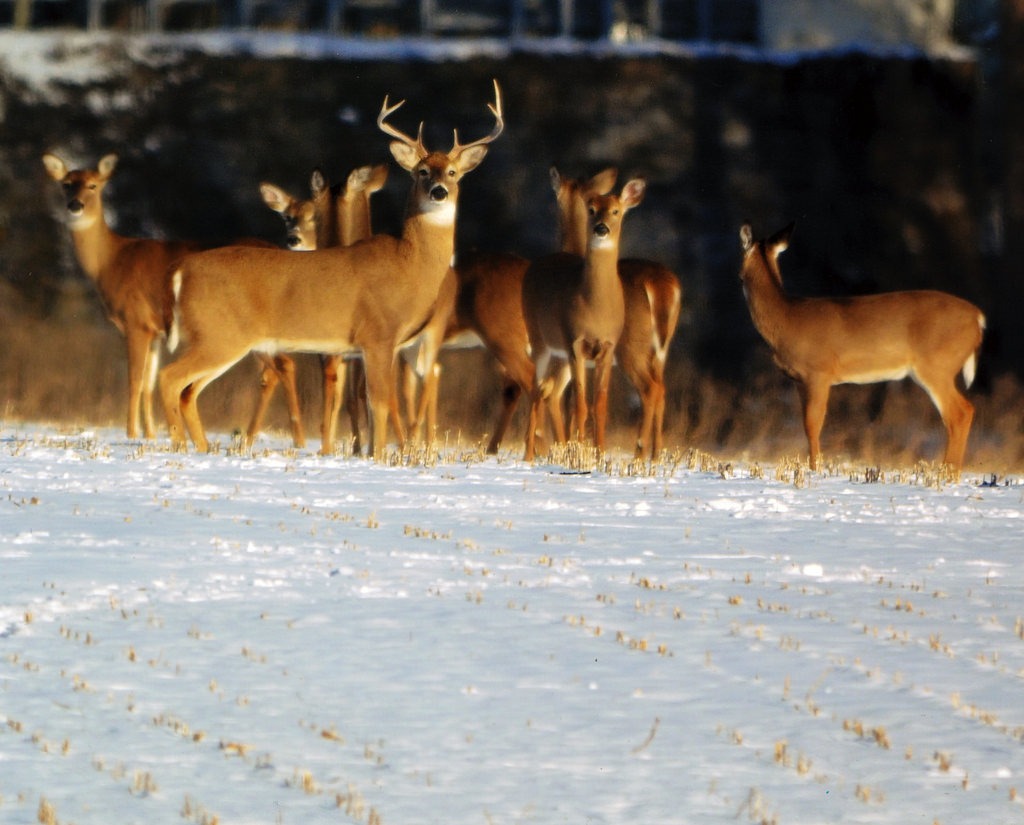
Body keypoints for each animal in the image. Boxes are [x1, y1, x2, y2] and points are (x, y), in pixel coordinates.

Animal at [42, 152, 203, 441]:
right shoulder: (155, 331)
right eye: (66, 184)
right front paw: (151, 435)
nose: (75, 206)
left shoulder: (135, 320)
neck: (111, 261)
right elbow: (148, 384)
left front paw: (131, 433)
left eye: (93, 185)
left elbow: (134, 380)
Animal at [158, 80, 503, 460]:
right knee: (171, 378)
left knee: (189, 390)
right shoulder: (377, 334)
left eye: (453, 172)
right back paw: (179, 446)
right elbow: (379, 403)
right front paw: (379, 458)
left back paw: (201, 448)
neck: (411, 264)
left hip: (220, 337)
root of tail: (181, 270)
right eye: (422, 172)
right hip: (219, 333)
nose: (439, 191)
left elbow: (371, 404)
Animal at [522, 177, 647, 461]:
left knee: (547, 391)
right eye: (591, 210)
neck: (595, 307)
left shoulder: (607, 347)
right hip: (540, 339)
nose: (601, 228)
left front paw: (600, 454)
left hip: (560, 355)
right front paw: (578, 452)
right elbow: (580, 404)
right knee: (536, 389)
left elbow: (599, 404)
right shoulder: (574, 343)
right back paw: (529, 456)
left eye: (615, 211)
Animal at [551, 167, 682, 459]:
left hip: (630, 347)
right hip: (660, 349)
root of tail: (661, 285)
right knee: (662, 389)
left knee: (650, 389)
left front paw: (572, 446)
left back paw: (640, 451)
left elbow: (571, 401)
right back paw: (655, 453)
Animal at [738, 222, 986, 475]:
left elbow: (813, 424)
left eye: (740, 275)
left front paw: (815, 470)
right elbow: (806, 424)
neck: (787, 319)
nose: (738, 279)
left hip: (936, 366)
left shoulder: (818, 372)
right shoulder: (799, 379)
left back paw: (947, 474)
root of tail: (978, 318)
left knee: (960, 413)